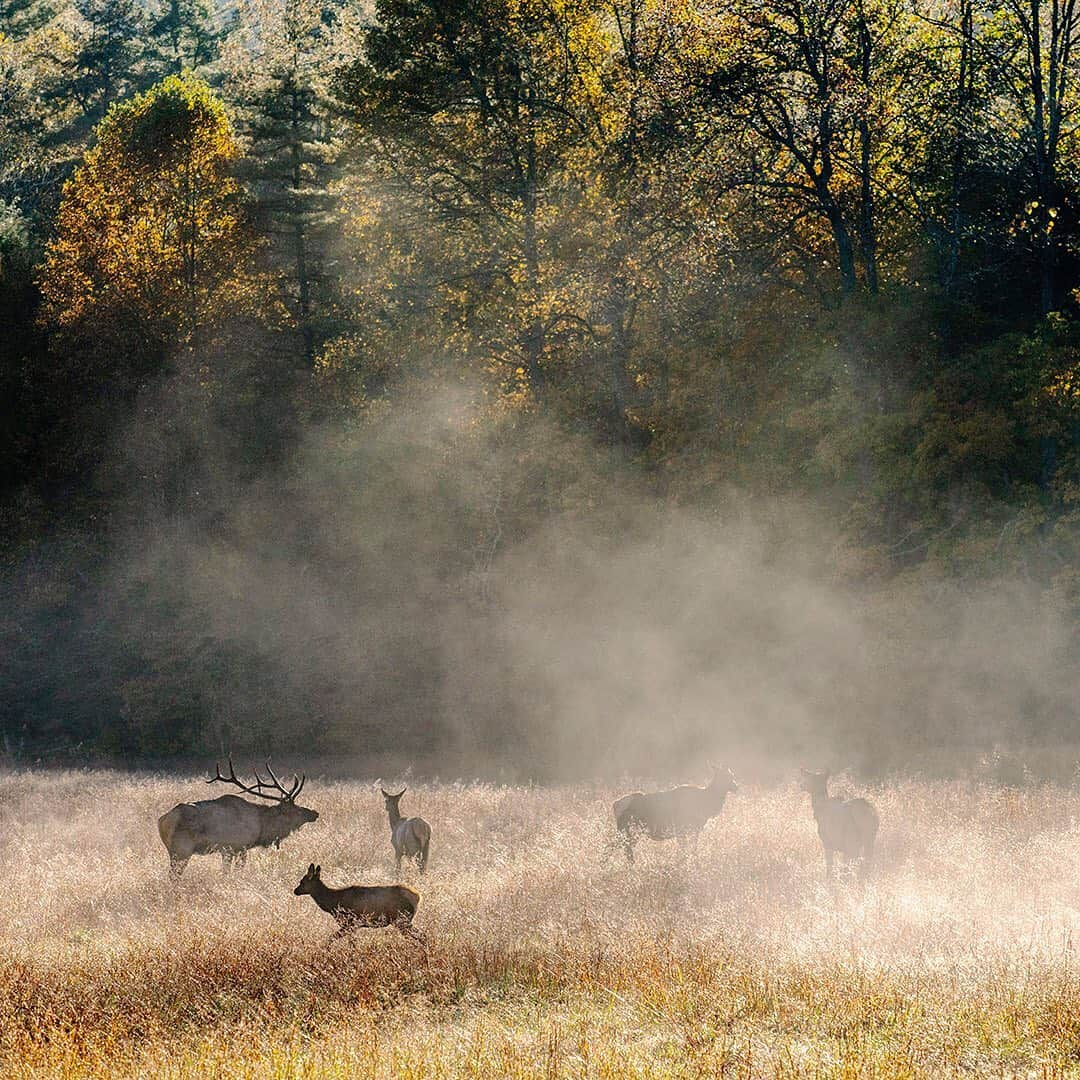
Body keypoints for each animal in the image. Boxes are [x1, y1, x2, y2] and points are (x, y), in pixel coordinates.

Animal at [157, 760, 315, 876]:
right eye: (297, 810)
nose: (315, 813)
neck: (261, 827)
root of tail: (162, 821)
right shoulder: (237, 846)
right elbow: (234, 871)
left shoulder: (228, 850)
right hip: (182, 849)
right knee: (174, 875)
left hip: (173, 851)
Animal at [291, 864, 421, 941]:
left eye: (302, 882)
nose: (295, 891)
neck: (333, 903)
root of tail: (417, 897)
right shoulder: (352, 925)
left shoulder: (350, 922)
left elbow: (332, 938)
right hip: (403, 920)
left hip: (402, 919)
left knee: (421, 935)